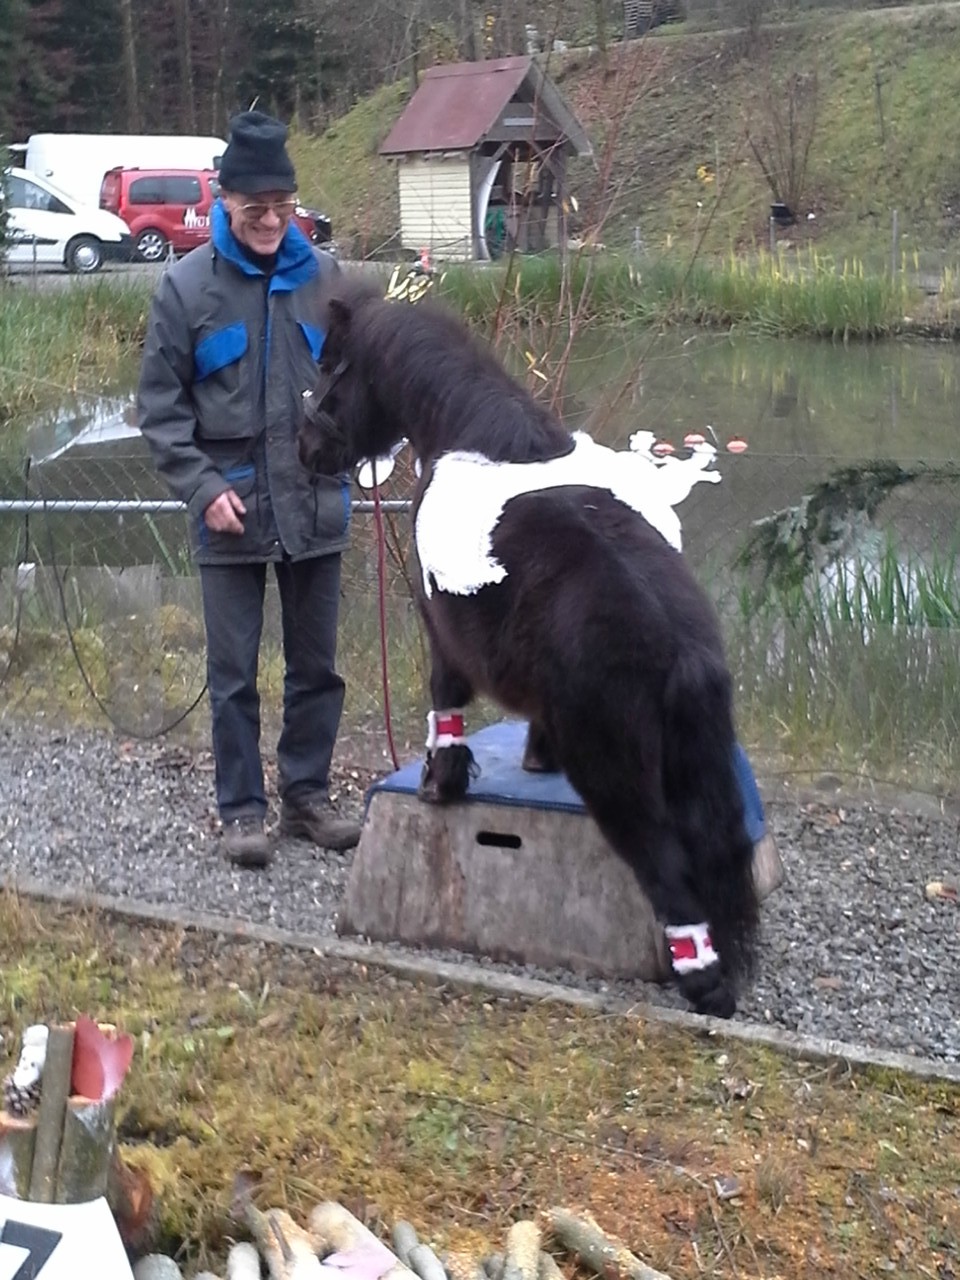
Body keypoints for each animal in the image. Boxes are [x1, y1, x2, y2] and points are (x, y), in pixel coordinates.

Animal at [298, 276, 758, 1017]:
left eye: (330, 367)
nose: (305, 447)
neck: (479, 438)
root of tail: (677, 645)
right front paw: (536, 760)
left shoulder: (442, 639)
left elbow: (446, 709)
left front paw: (440, 783)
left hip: (617, 779)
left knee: (664, 865)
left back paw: (702, 980)